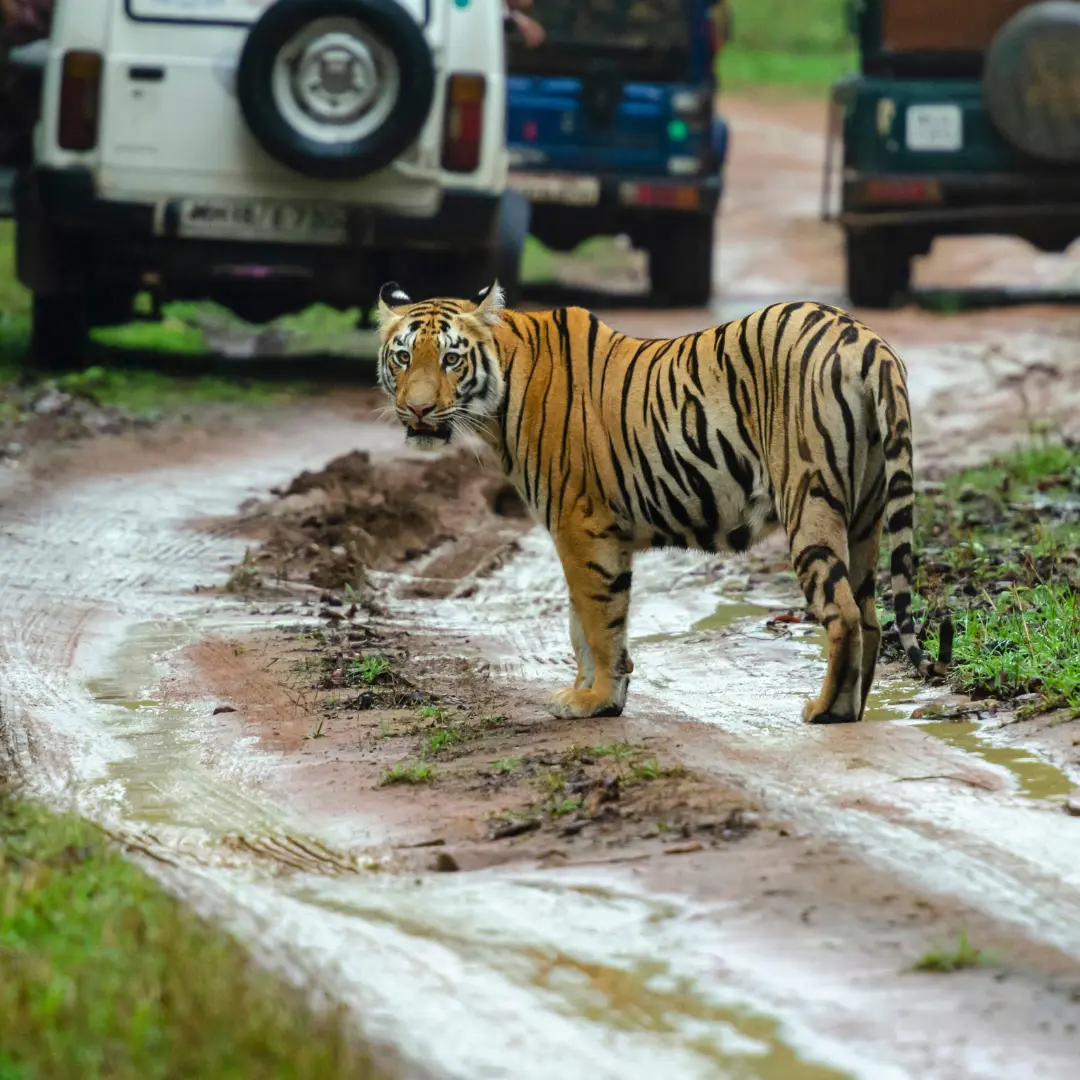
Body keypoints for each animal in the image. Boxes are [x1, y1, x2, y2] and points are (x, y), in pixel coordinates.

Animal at [375, 280, 953, 723]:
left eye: (451, 358)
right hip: (866, 514)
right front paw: (592, 693)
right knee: (871, 614)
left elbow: (597, 622)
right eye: (403, 357)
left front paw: (595, 700)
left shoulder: (581, 526)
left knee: (842, 612)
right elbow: (582, 622)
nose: (418, 410)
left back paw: (824, 710)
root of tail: (865, 338)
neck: (500, 396)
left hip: (809, 500)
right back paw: (852, 709)